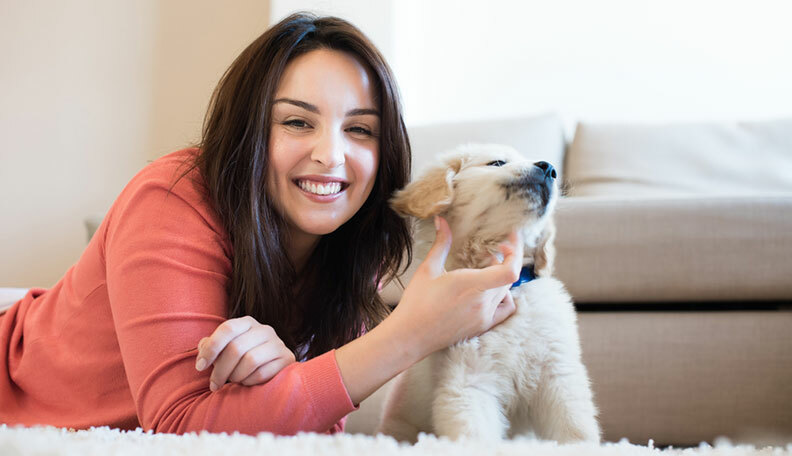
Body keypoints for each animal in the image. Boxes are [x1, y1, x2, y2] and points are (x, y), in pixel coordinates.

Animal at [378, 144, 600, 444]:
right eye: (497, 163)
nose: (550, 168)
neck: (508, 289)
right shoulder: (468, 380)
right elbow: (475, 434)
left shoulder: (558, 374)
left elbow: (576, 429)